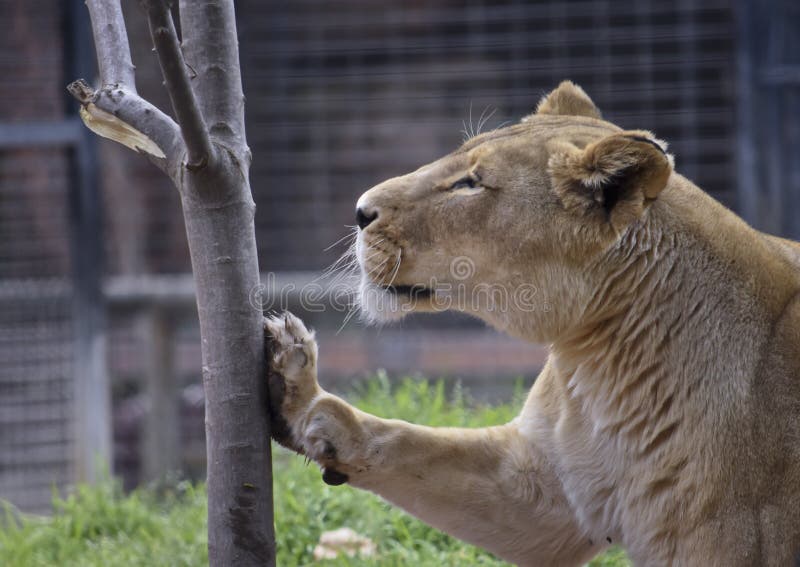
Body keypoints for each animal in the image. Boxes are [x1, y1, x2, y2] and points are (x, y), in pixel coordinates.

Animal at [264, 81, 800, 566]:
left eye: (471, 183)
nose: (359, 210)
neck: (601, 363)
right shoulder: (539, 492)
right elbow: (403, 441)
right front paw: (296, 389)